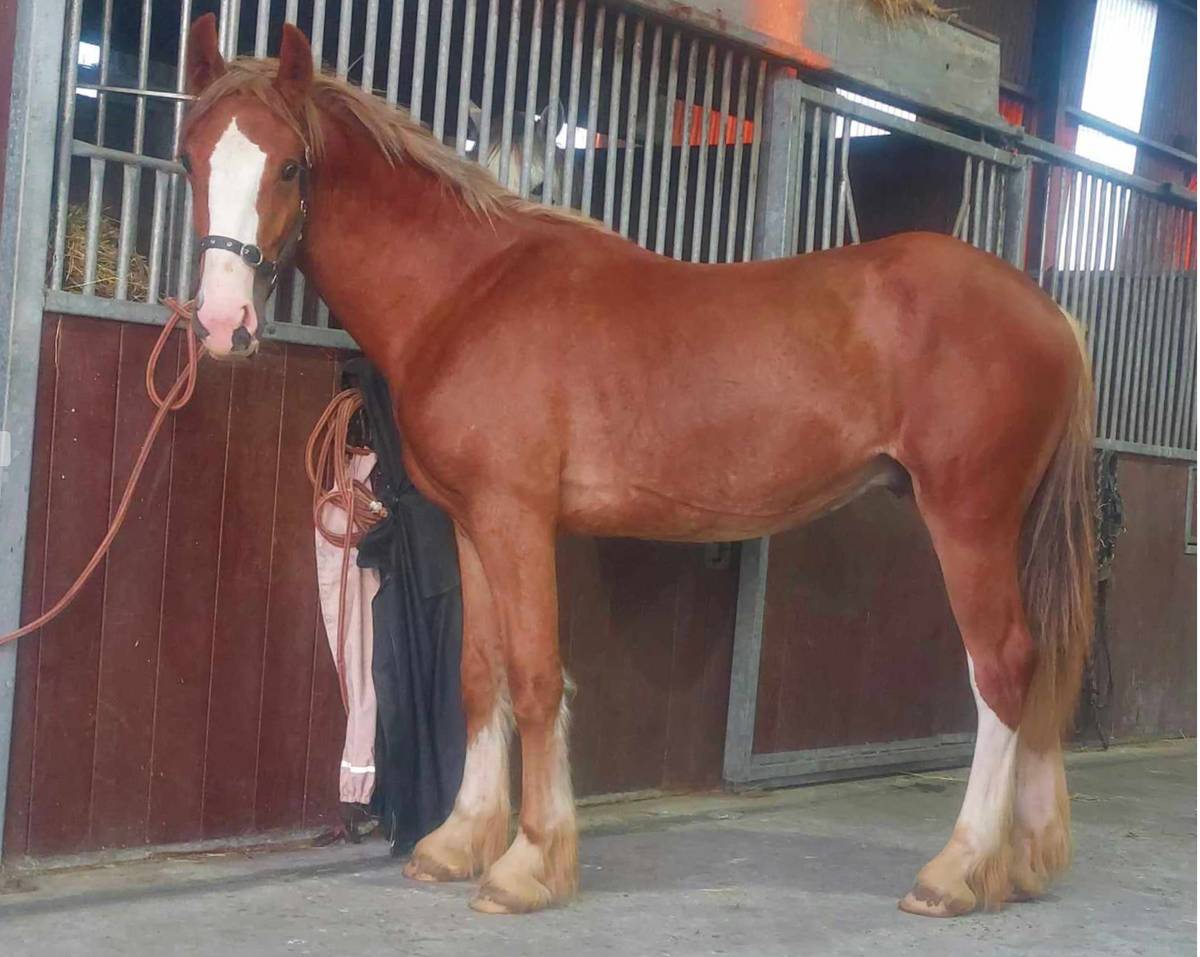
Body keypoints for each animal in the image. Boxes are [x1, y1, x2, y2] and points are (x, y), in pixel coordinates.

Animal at [179, 15, 1094, 918]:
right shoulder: (473, 523)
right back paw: (1023, 861)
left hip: (968, 519)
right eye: (190, 157)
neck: (469, 290)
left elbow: (536, 677)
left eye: (290, 165)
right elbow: (480, 677)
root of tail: (1051, 314)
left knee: (1003, 667)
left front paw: (528, 863)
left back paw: (957, 870)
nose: (224, 324)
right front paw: (457, 843)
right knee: (1040, 664)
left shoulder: (518, 518)